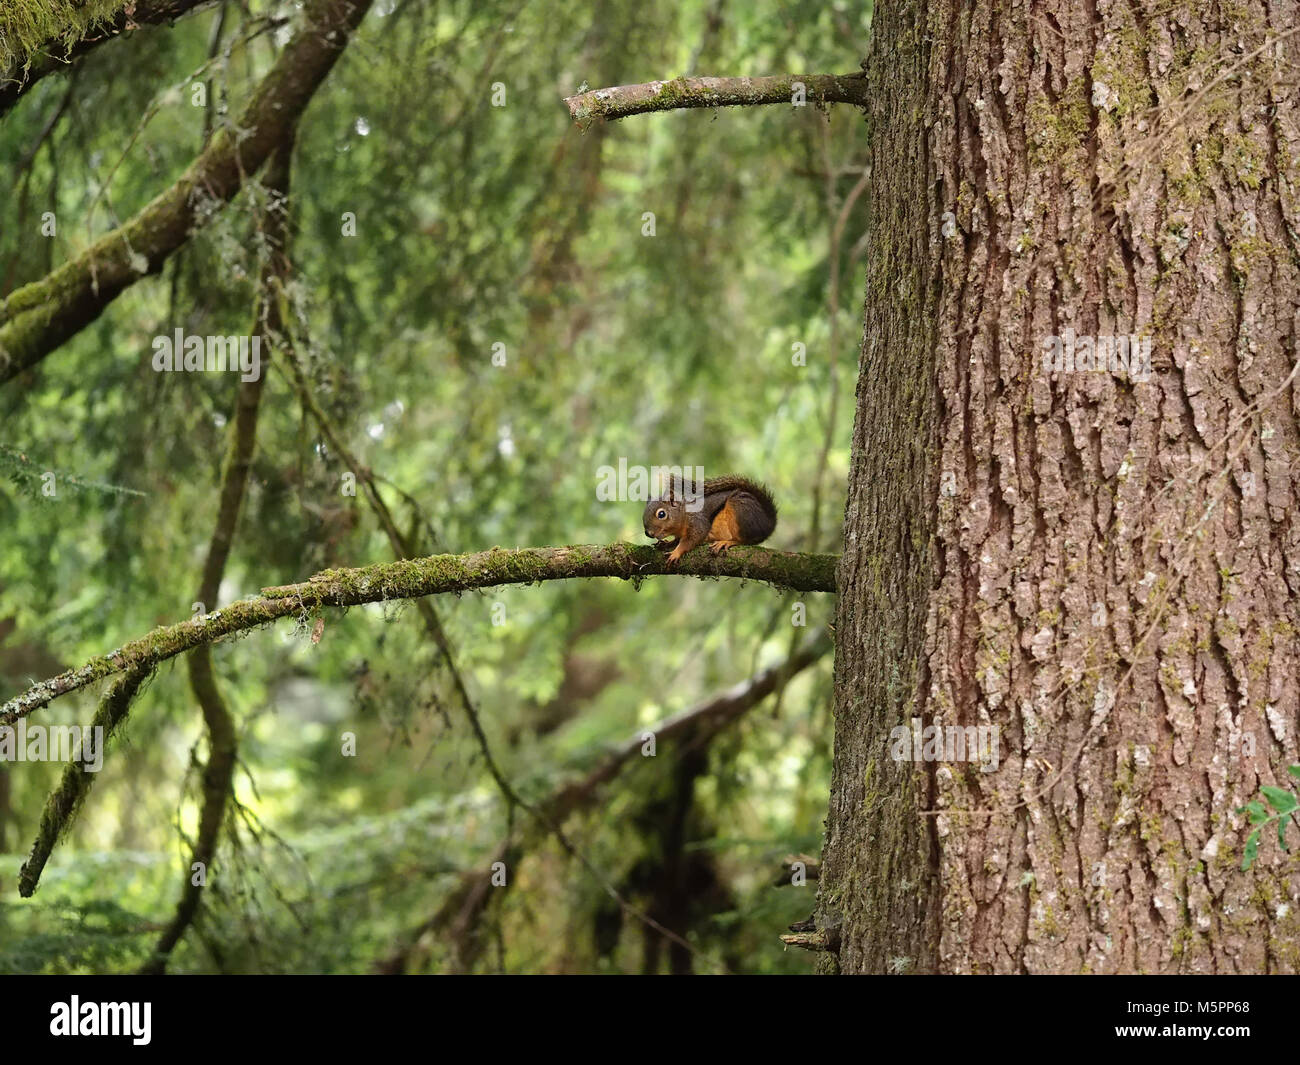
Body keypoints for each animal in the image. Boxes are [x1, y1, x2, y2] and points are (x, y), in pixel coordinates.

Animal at [643, 475, 778, 565]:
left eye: (661, 514)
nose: (648, 533)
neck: (684, 514)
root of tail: (768, 524)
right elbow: (677, 540)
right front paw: (667, 543)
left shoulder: (698, 523)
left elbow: (690, 540)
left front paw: (675, 553)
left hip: (741, 512)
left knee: (745, 540)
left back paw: (726, 542)